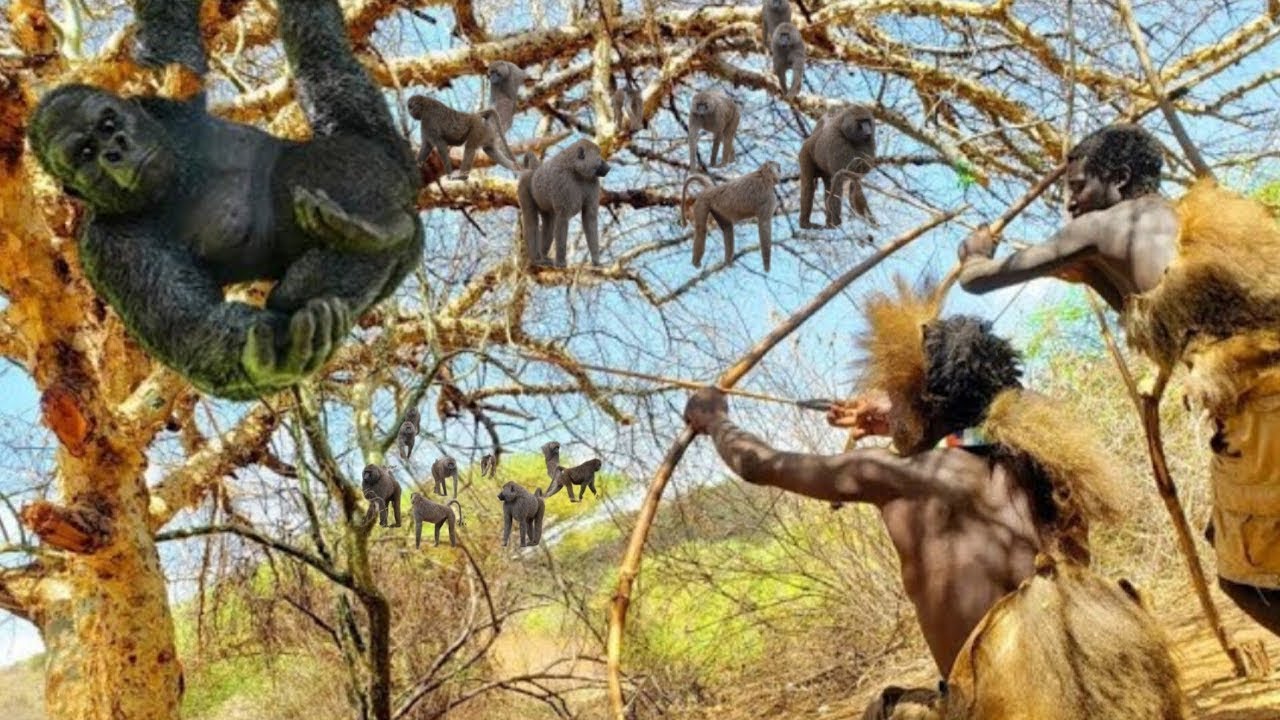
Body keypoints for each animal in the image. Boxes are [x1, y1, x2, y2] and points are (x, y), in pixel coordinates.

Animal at [24, 0, 423, 400]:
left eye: (107, 124)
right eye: (85, 154)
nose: (116, 151)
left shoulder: (166, 101)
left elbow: (169, 28)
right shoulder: (106, 249)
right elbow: (193, 332)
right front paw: (269, 362)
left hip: (365, 131)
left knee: (324, 60)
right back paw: (380, 235)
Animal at [517, 139, 611, 267]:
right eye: (598, 155)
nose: (608, 167)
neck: (577, 171)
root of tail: (535, 171)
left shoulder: (593, 184)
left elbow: (589, 218)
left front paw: (596, 261)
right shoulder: (563, 182)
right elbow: (563, 217)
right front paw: (561, 262)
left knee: (549, 221)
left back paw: (544, 257)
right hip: (524, 185)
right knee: (531, 221)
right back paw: (536, 259)